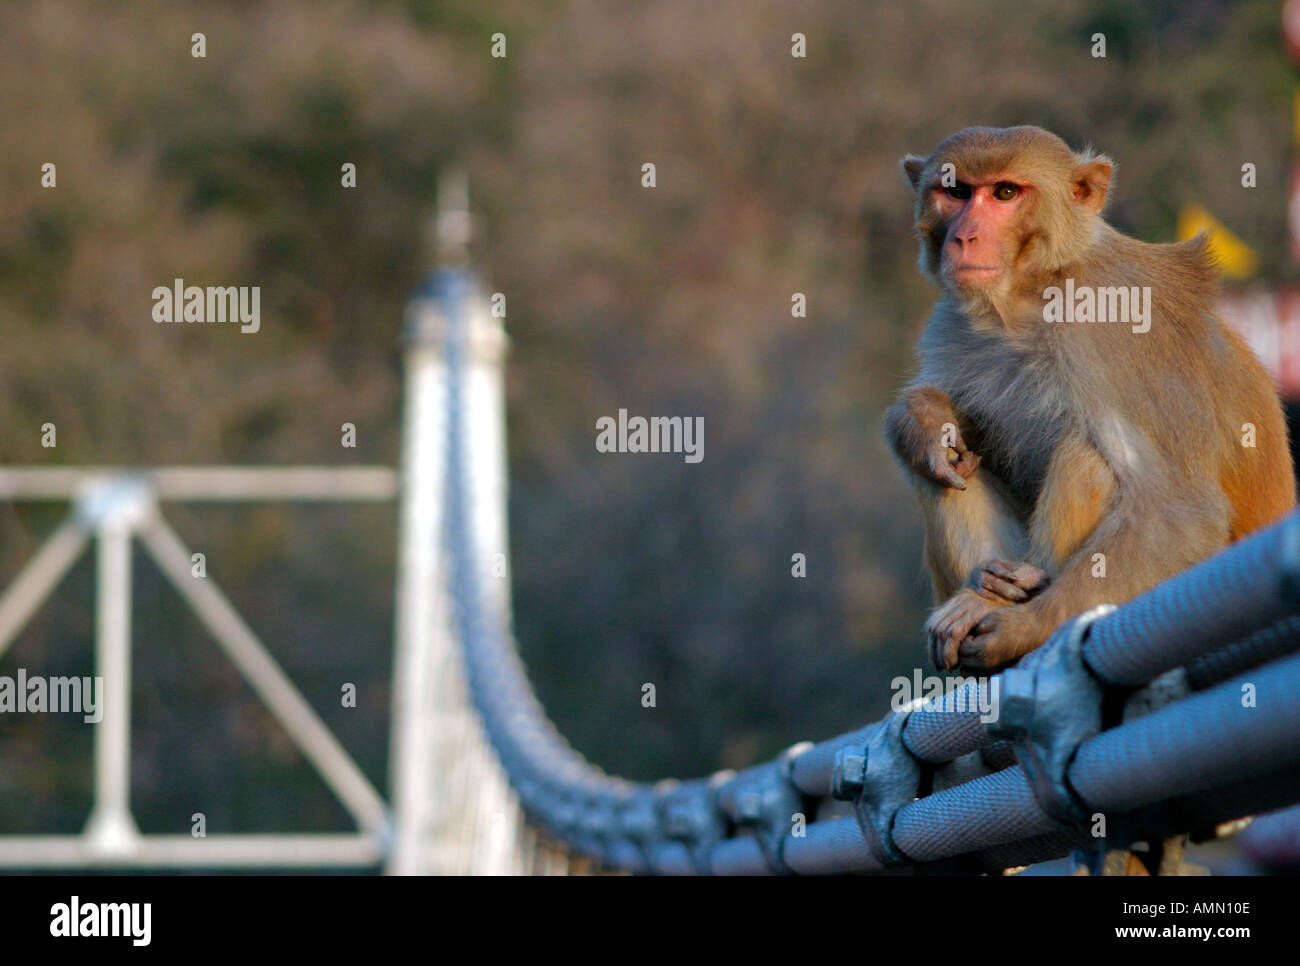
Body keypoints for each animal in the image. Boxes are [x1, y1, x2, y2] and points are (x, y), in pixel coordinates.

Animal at [885, 125, 1296, 674]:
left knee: (1091, 457)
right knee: (945, 468)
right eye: (956, 192)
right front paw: (923, 420)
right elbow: (950, 440)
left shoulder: (1110, 329)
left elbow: (1178, 510)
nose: (964, 237)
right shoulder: (952, 322)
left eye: (1005, 193)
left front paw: (1023, 625)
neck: (1036, 291)